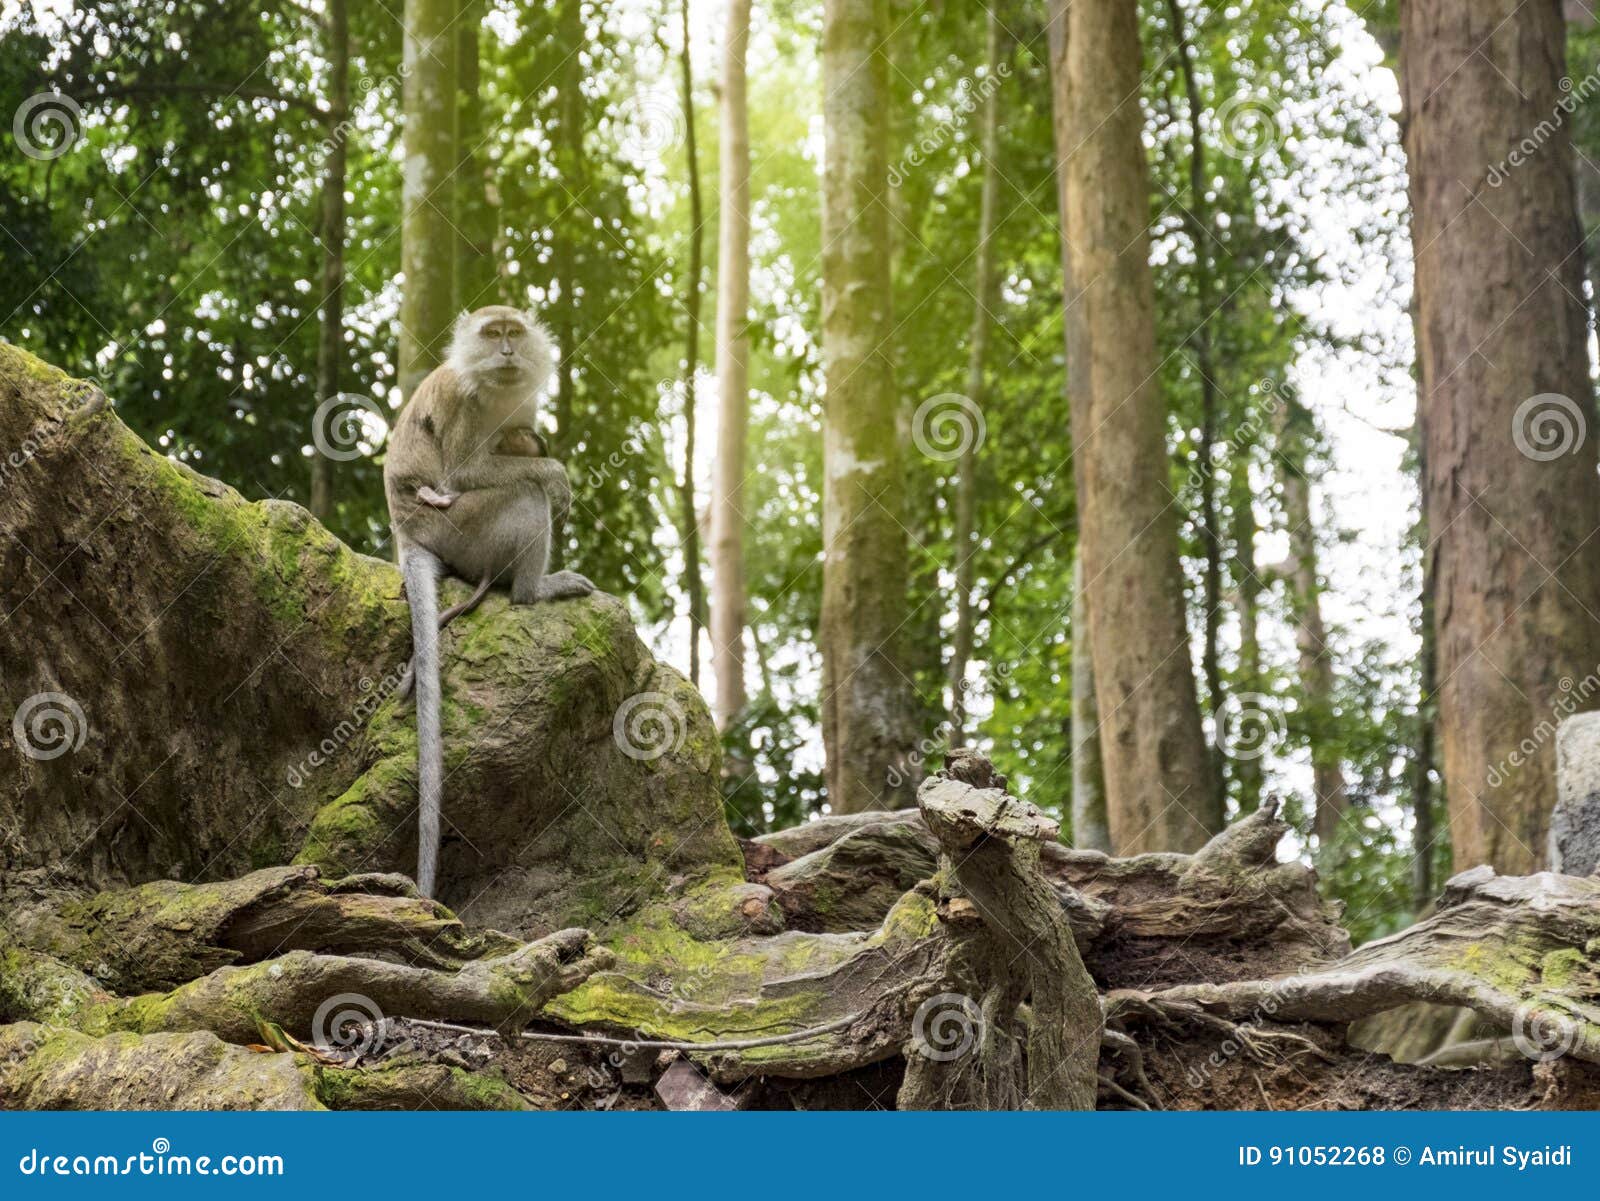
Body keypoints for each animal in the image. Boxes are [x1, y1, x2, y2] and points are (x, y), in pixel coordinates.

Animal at [383, 305, 594, 897]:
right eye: (492, 333)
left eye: (513, 333)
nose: (505, 351)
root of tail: (409, 537)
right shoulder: (463, 401)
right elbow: (467, 470)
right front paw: (555, 474)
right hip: (460, 528)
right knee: (522, 494)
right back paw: (532, 589)